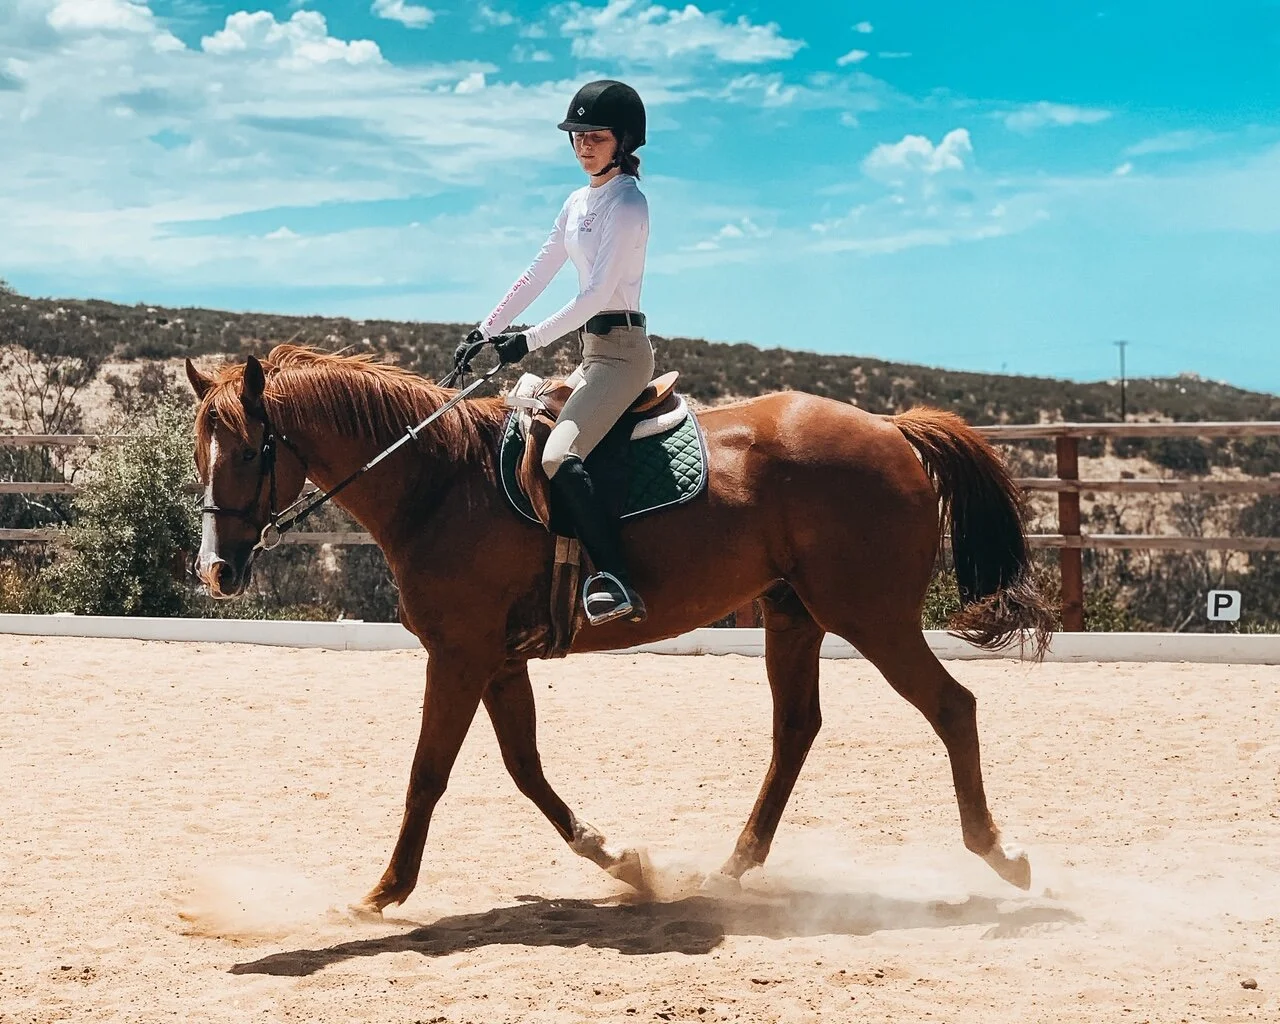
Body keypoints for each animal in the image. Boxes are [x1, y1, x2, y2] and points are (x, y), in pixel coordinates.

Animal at [185, 343, 1054, 915]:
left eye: (254, 450)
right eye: (201, 452)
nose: (216, 570)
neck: (438, 482)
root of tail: (890, 427)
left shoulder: (459, 655)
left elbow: (428, 773)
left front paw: (383, 892)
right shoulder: (497, 660)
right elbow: (525, 769)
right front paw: (623, 862)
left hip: (867, 614)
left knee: (951, 708)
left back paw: (1002, 855)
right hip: (794, 613)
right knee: (797, 729)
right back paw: (731, 869)